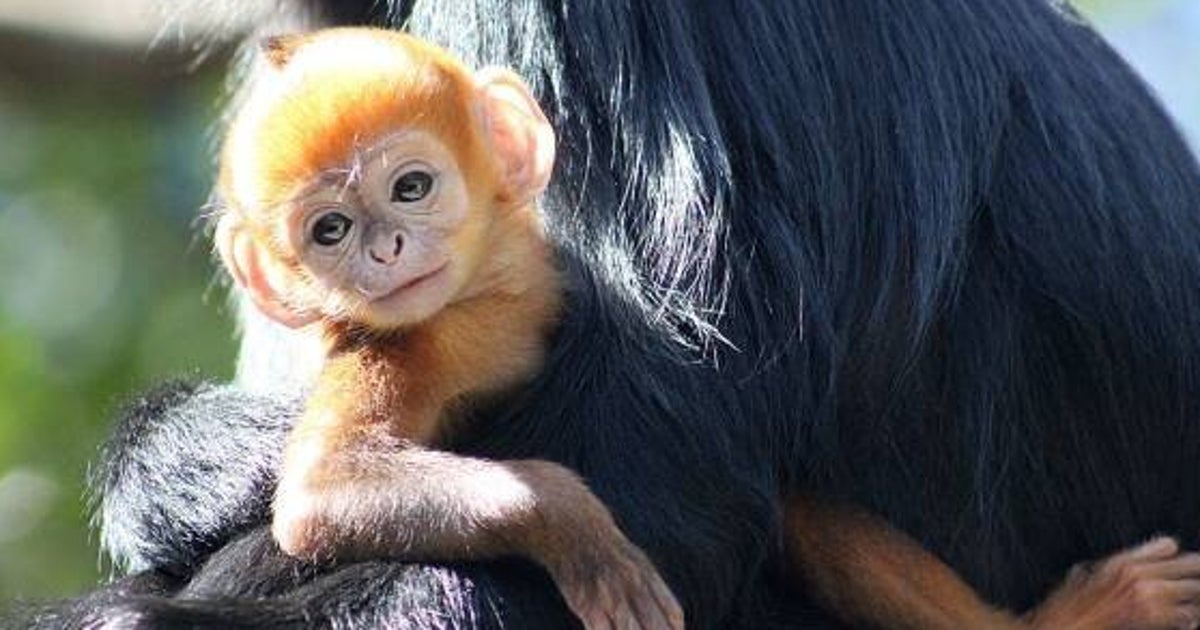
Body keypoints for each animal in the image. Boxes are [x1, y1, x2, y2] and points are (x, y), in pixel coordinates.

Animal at [212, 28, 682, 630]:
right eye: (331, 229)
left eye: (411, 187)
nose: (385, 249)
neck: (490, 300)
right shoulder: (404, 351)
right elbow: (319, 494)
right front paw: (578, 532)